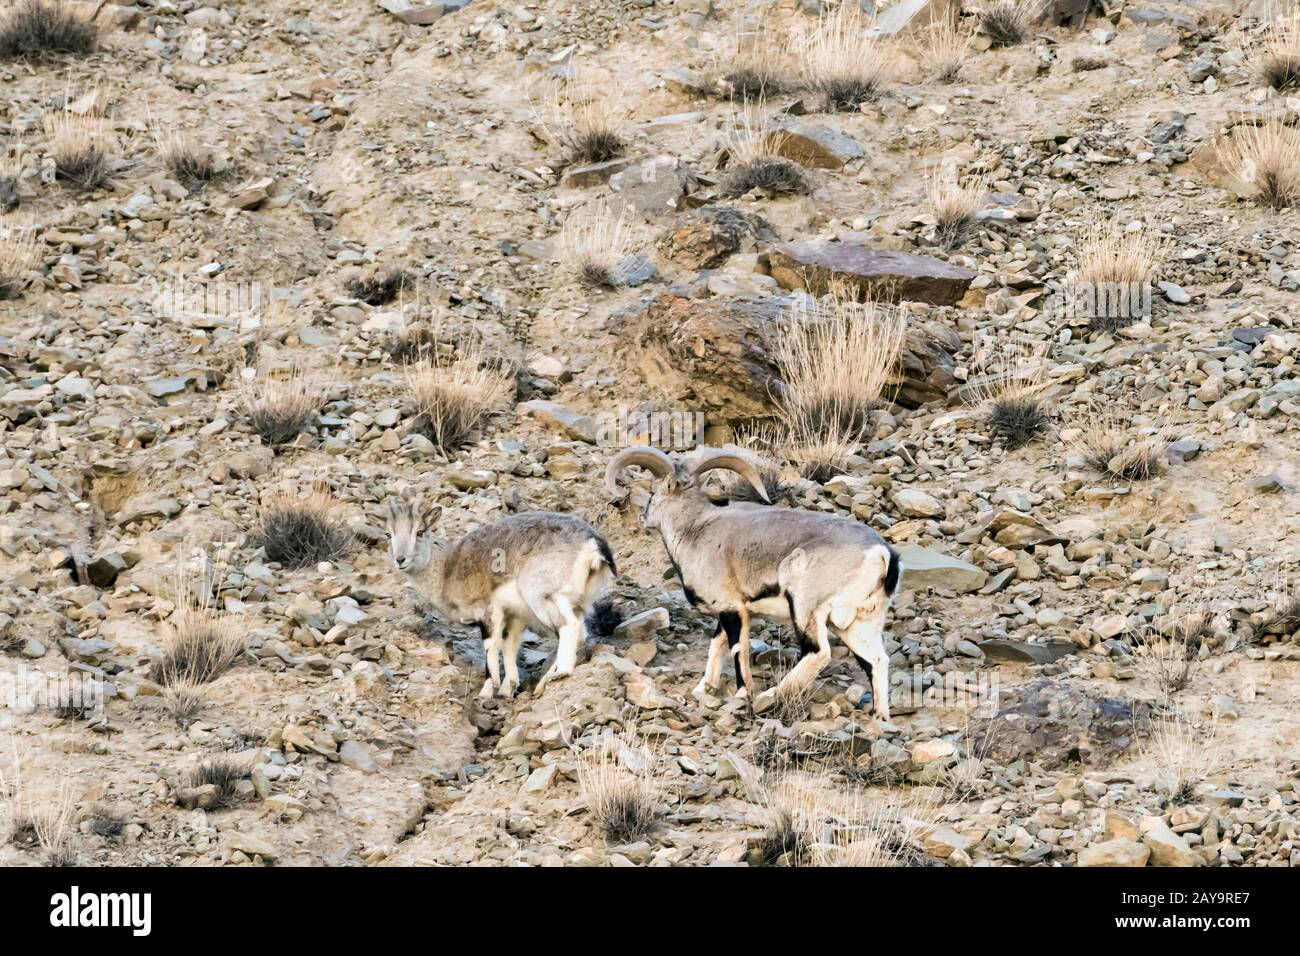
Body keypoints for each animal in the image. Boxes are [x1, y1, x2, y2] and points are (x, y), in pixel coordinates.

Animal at [385, 487, 617, 699]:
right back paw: (544, 682)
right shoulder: (516, 616)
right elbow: (510, 646)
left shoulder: (488, 610)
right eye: (389, 534)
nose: (400, 559)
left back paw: (559, 675)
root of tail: (593, 545)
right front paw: (508, 689)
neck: (446, 571)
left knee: (569, 627)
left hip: (543, 596)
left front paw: (487, 691)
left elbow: (491, 645)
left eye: (420, 532)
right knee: (579, 631)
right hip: (576, 602)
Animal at [606, 446, 901, 719]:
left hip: (805, 607)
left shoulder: (731, 608)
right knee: (876, 660)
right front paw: (703, 688)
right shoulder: (732, 610)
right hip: (859, 621)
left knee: (818, 652)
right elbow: (717, 645)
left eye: (653, 493)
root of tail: (881, 553)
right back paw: (880, 716)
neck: (694, 530)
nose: (643, 517)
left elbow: (738, 647)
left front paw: (741, 693)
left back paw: (769, 696)